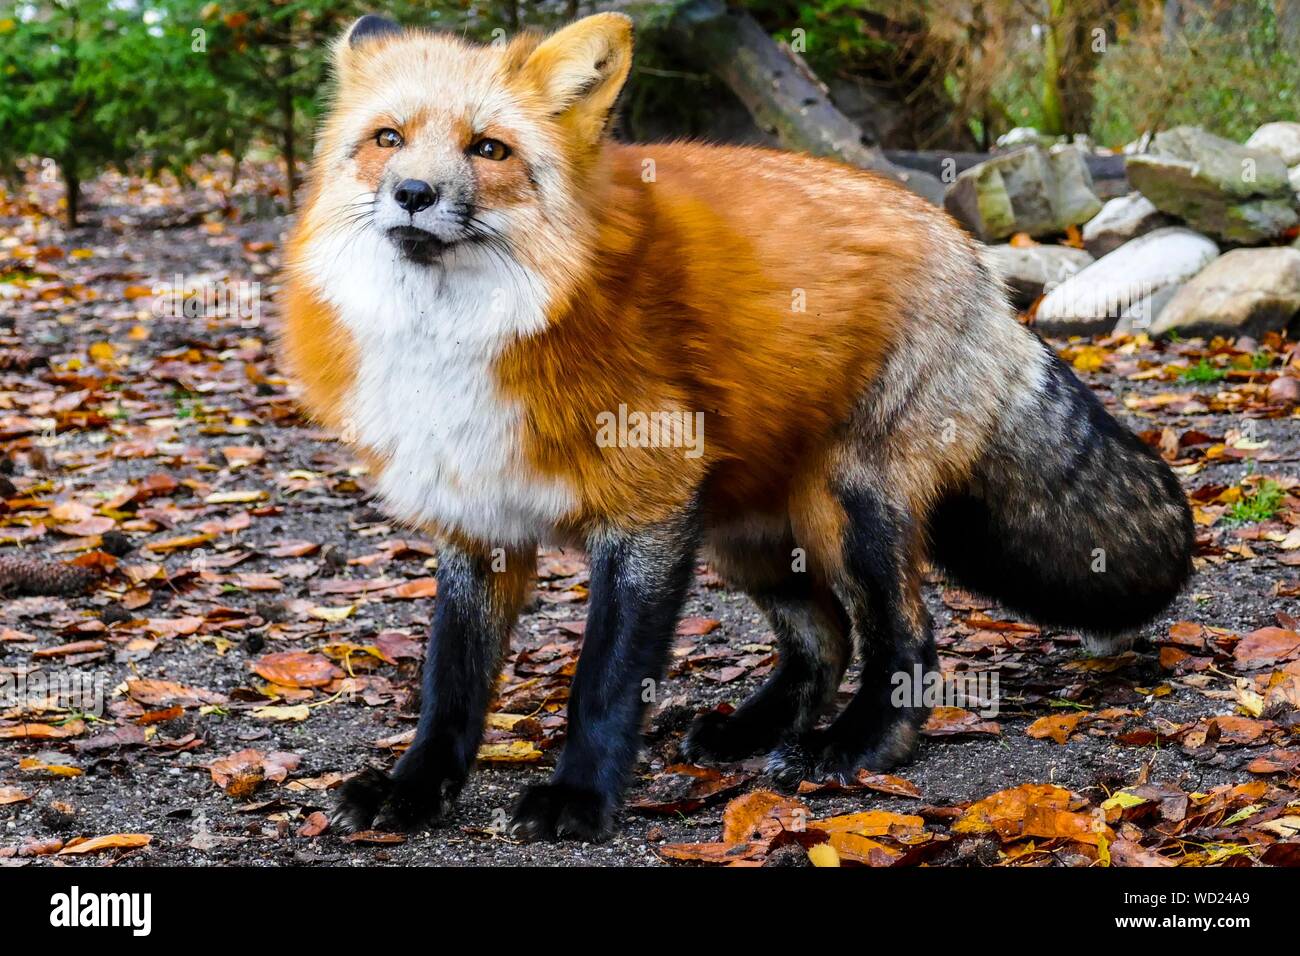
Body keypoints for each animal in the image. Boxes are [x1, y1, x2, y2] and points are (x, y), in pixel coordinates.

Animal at [280, 13, 1194, 842]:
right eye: (387, 139)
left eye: (488, 150)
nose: (414, 195)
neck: (464, 335)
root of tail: (978, 261)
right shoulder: (477, 522)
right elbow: (450, 684)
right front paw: (413, 789)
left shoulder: (648, 511)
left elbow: (604, 679)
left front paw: (580, 797)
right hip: (743, 534)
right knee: (823, 640)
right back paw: (754, 731)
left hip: (848, 507)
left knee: (907, 637)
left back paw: (855, 746)